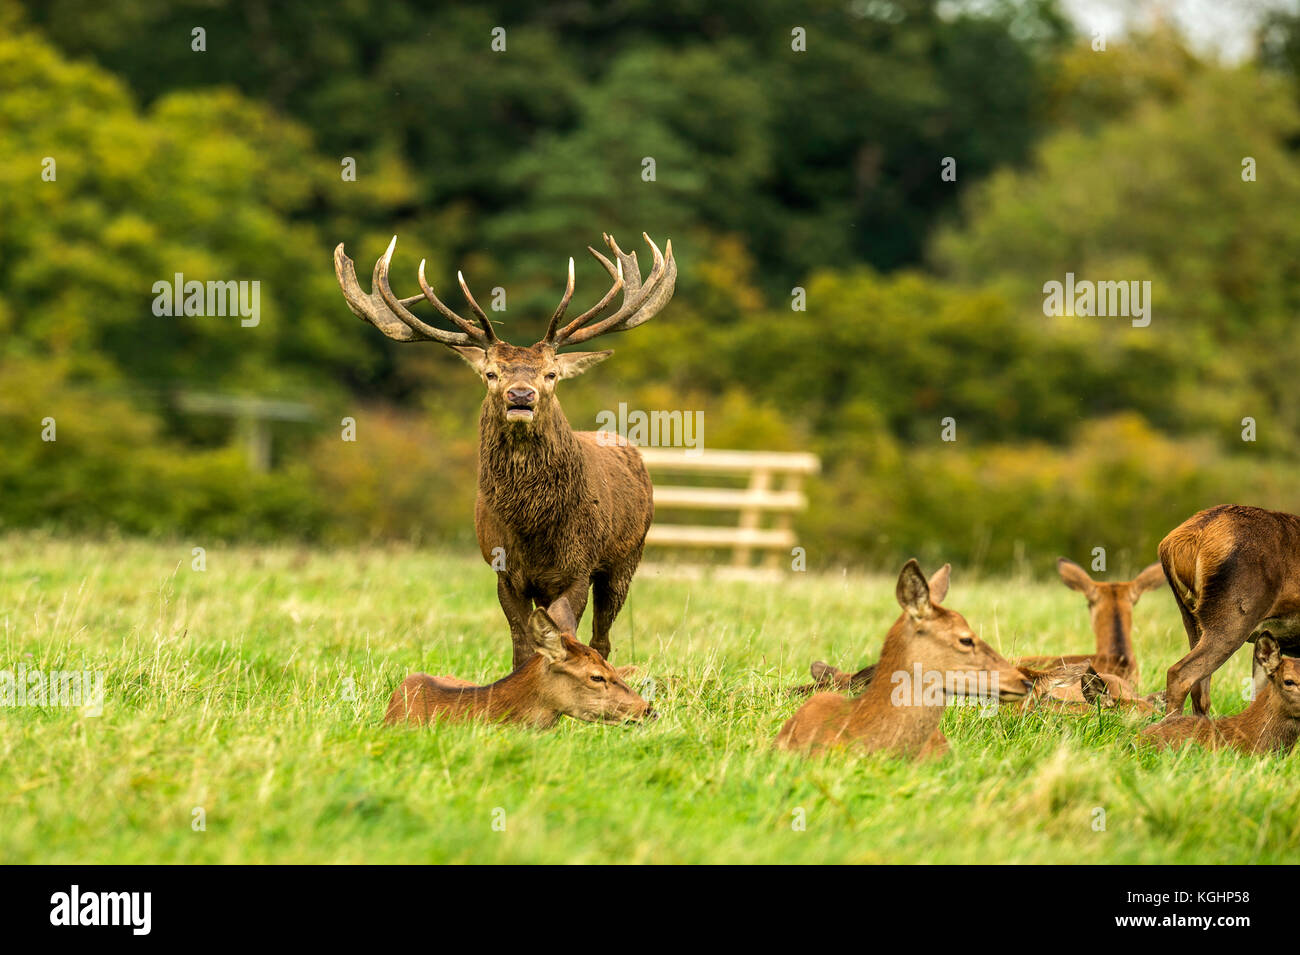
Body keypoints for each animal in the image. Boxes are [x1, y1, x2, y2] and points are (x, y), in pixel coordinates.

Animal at [335, 232, 676, 669]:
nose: (521, 395)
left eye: (551, 374)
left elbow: (564, 633)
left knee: (602, 638)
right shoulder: (503, 571)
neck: (534, 527)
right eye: (490, 373)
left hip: (626, 557)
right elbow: (522, 645)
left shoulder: (578, 566)